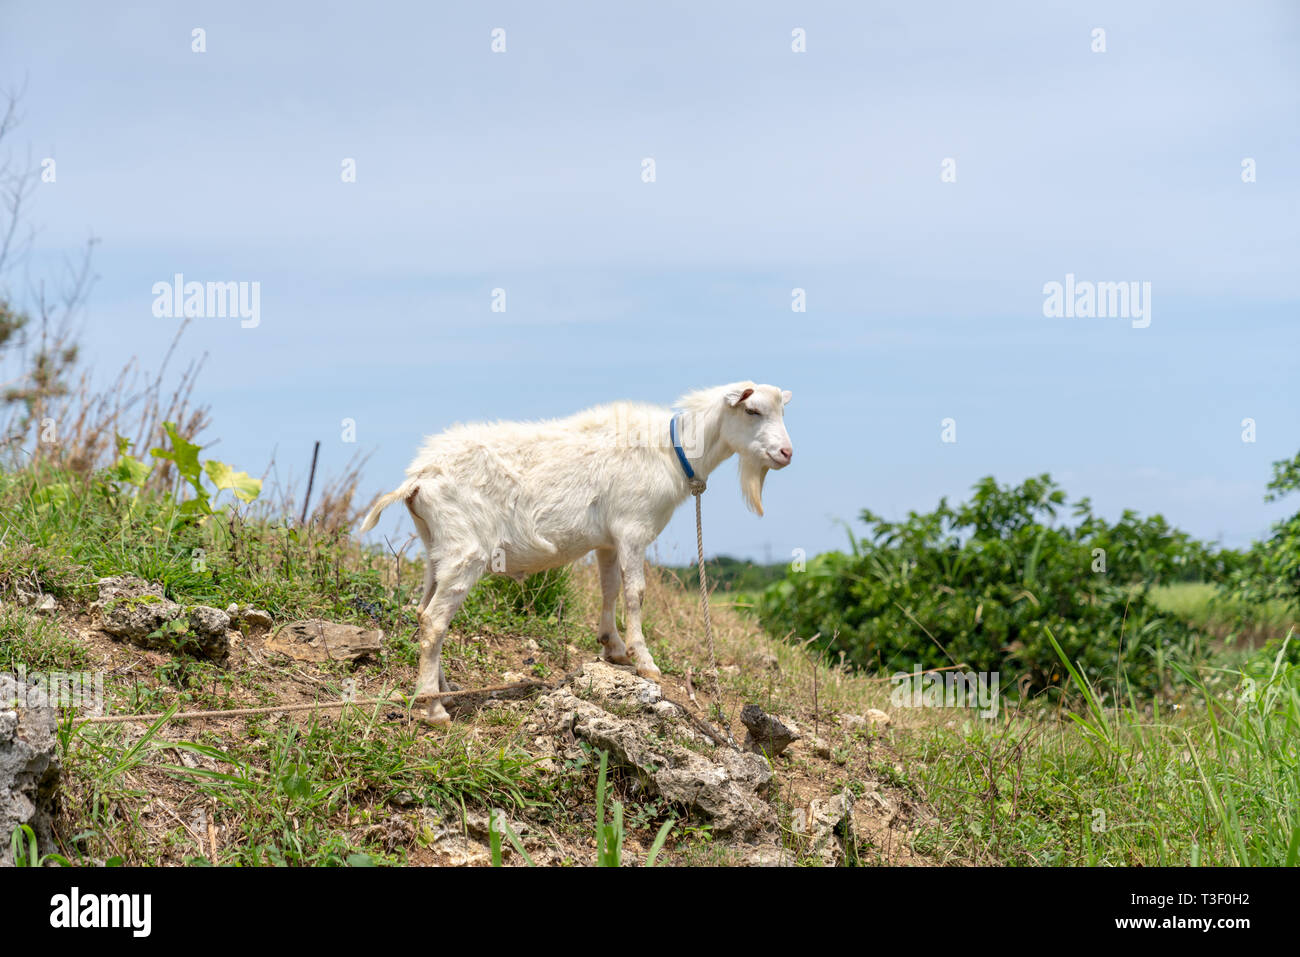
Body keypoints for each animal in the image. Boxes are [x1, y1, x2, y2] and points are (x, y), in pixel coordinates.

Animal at [358, 381, 794, 725]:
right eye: (752, 410)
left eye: (782, 410)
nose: (787, 453)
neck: (673, 451)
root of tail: (417, 480)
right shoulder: (634, 529)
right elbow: (635, 593)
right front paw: (645, 662)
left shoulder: (608, 540)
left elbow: (610, 588)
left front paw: (613, 647)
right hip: (465, 550)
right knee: (434, 620)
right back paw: (433, 709)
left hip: (436, 548)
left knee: (423, 611)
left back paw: (442, 690)